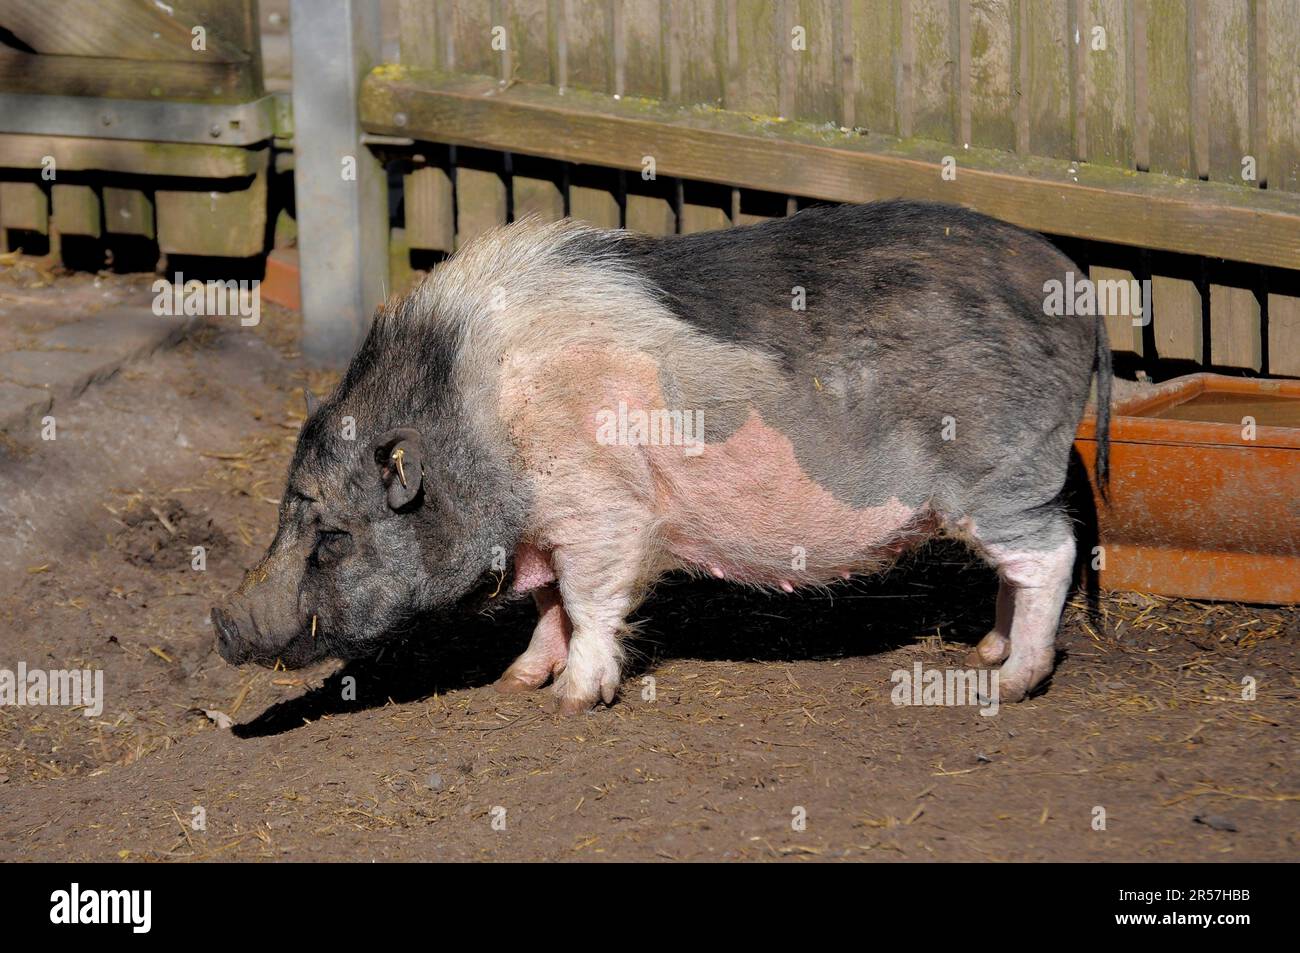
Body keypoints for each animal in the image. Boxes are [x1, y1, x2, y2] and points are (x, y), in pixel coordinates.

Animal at [213, 199, 1111, 713]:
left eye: (333, 535)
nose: (221, 620)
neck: (477, 418)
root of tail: (1077, 286)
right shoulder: (551, 523)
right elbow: (550, 602)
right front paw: (518, 679)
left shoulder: (602, 508)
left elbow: (588, 599)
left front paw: (572, 702)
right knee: (1021, 566)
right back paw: (985, 651)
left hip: (1003, 472)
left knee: (1051, 553)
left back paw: (1007, 683)